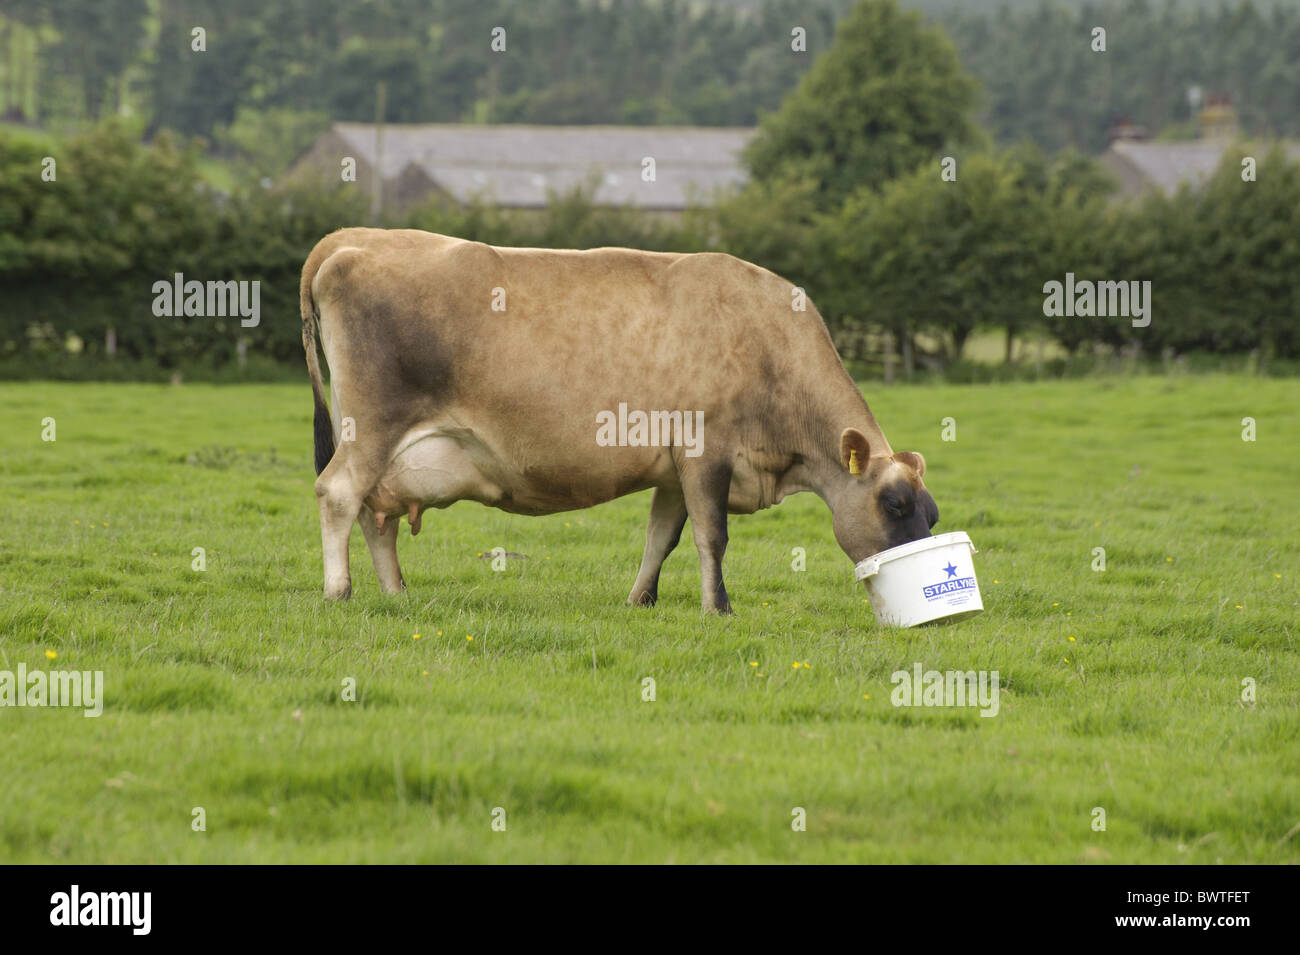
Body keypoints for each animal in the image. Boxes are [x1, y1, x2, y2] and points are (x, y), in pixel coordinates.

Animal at [300, 228, 938, 611]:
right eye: (895, 505)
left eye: (930, 513)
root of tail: (355, 241)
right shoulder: (706, 448)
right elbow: (712, 535)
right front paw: (719, 607)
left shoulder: (673, 467)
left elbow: (663, 536)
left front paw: (641, 599)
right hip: (372, 428)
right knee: (338, 493)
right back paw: (339, 590)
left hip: (389, 450)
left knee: (376, 513)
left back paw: (396, 594)